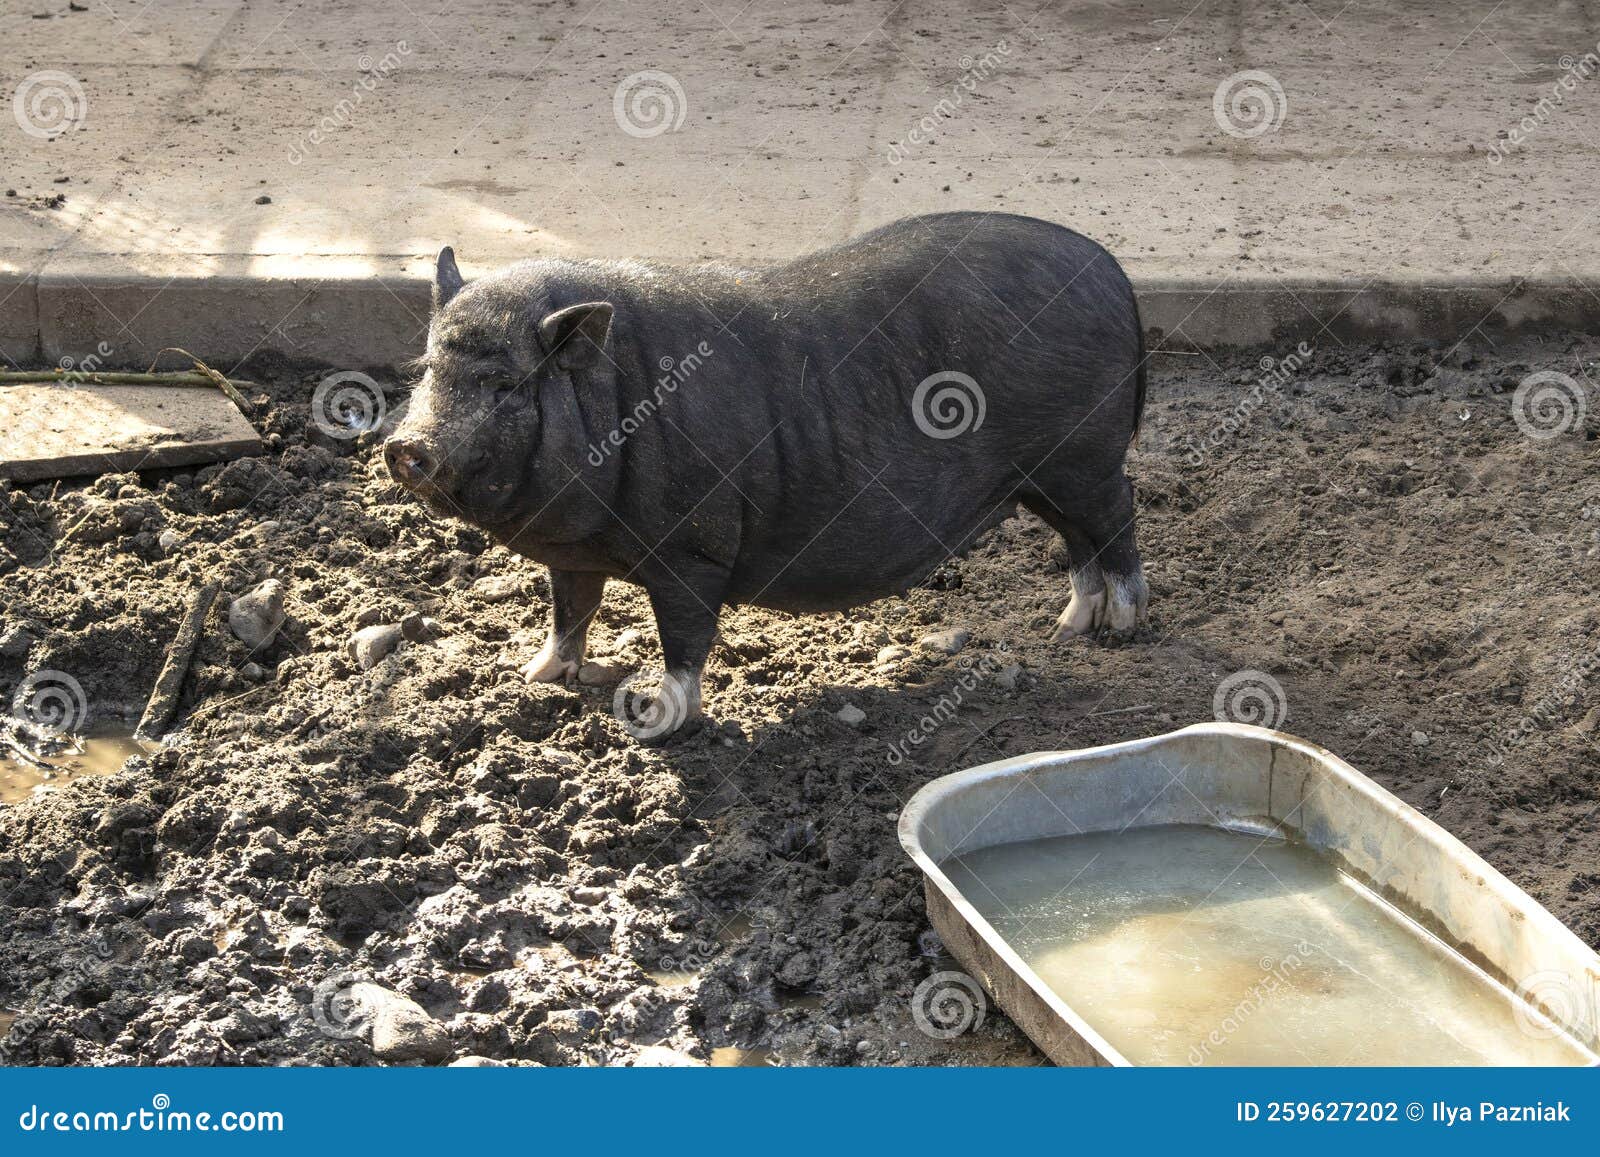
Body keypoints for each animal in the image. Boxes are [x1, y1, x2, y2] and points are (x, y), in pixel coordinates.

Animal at [385, 211, 1148, 737]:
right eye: (427, 367)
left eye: (505, 383)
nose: (404, 447)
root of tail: (1114, 275)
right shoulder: (573, 552)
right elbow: (571, 607)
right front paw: (531, 676)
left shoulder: (694, 547)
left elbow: (684, 638)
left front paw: (657, 724)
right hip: (1042, 477)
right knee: (1079, 540)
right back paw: (1070, 628)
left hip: (1085, 457)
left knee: (1119, 522)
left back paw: (1121, 628)